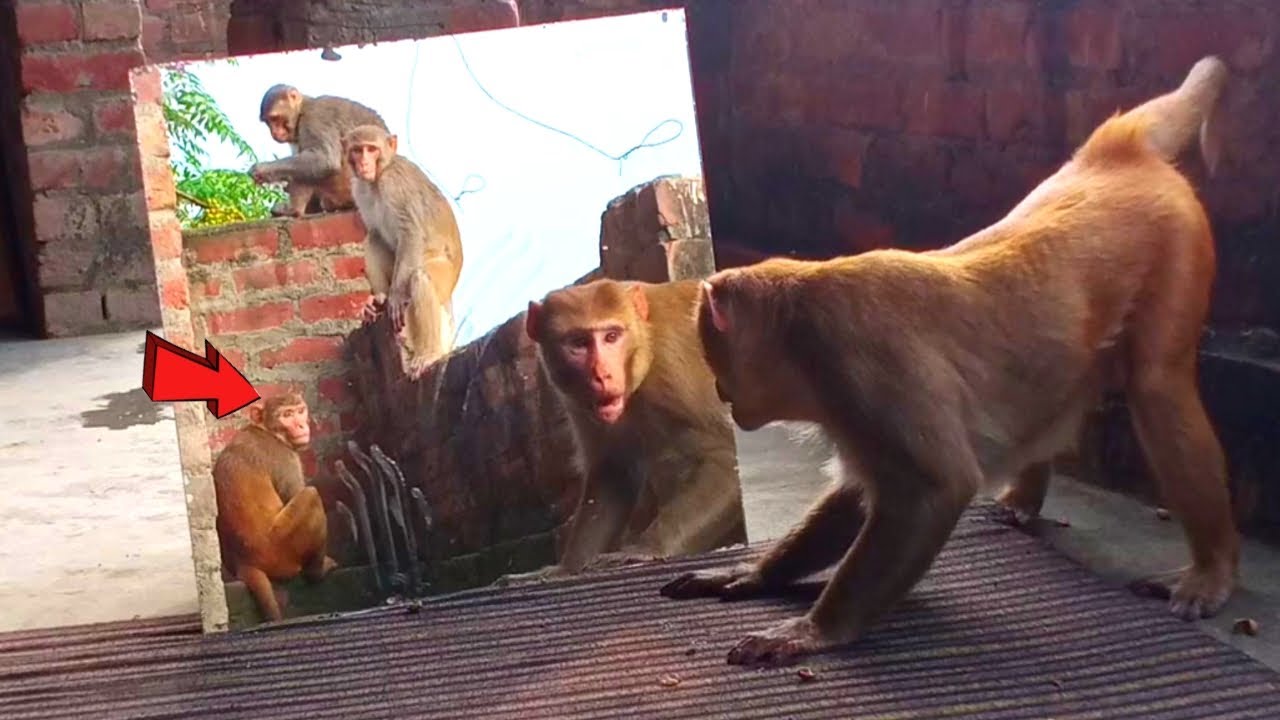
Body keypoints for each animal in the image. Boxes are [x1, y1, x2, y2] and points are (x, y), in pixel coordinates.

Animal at [212, 392, 338, 622]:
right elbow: (294, 492)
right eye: (286, 415)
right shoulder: (285, 458)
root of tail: (243, 563)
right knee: (311, 495)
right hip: (281, 552)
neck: (267, 431)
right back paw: (316, 572)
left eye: (300, 410)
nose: (301, 425)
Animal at [249, 84, 388, 218]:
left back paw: (293, 210)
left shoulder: (315, 117)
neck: (303, 109)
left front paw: (262, 169)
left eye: (275, 118)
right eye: (268, 121)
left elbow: (324, 160)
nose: (274, 132)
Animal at [342, 124, 464, 375]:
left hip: (444, 276)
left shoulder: (394, 183)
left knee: (420, 278)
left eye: (371, 149)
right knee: (374, 238)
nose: (364, 163)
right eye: (357, 150)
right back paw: (379, 298)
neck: (378, 178)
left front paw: (396, 295)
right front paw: (380, 298)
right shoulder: (359, 188)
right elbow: (375, 232)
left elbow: (411, 232)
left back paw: (428, 354)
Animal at [495, 279, 747, 586]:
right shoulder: (578, 405)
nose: (602, 374)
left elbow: (727, 457)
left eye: (612, 336)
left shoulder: (673, 372)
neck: (644, 342)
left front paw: (646, 549)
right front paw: (564, 568)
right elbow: (612, 474)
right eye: (578, 343)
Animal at [660, 56, 1239, 667]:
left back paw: (1211, 567)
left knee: (1157, 386)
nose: (722, 394)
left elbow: (933, 488)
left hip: (1177, 242)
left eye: (716, 360)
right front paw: (755, 575)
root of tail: (1117, 156)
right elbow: (861, 492)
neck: (803, 323)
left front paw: (815, 630)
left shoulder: (859, 364)